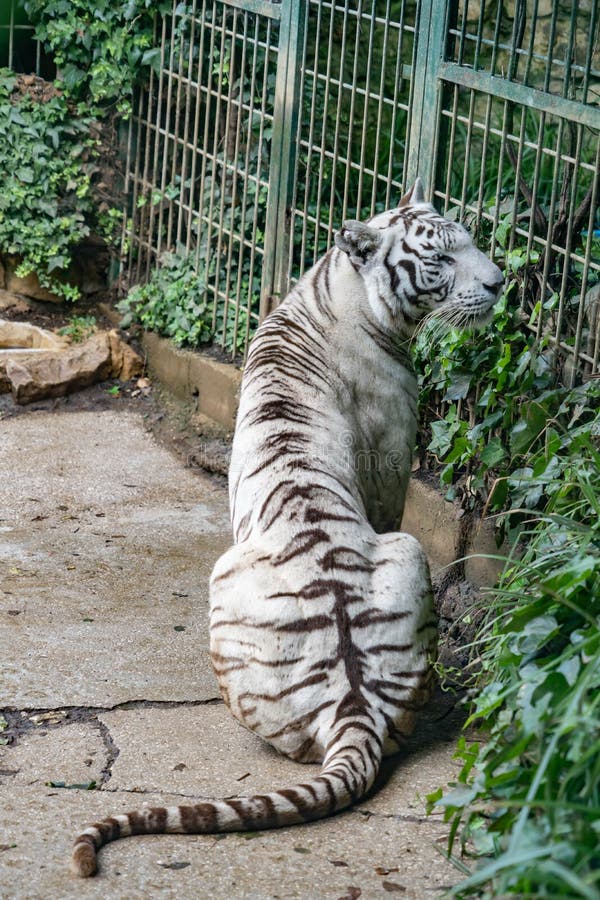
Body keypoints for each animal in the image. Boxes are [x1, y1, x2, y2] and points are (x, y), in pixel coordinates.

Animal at [71, 178, 503, 876]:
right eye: (441, 257)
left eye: (471, 239)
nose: (498, 283)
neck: (332, 287)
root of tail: (354, 703)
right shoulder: (391, 466)